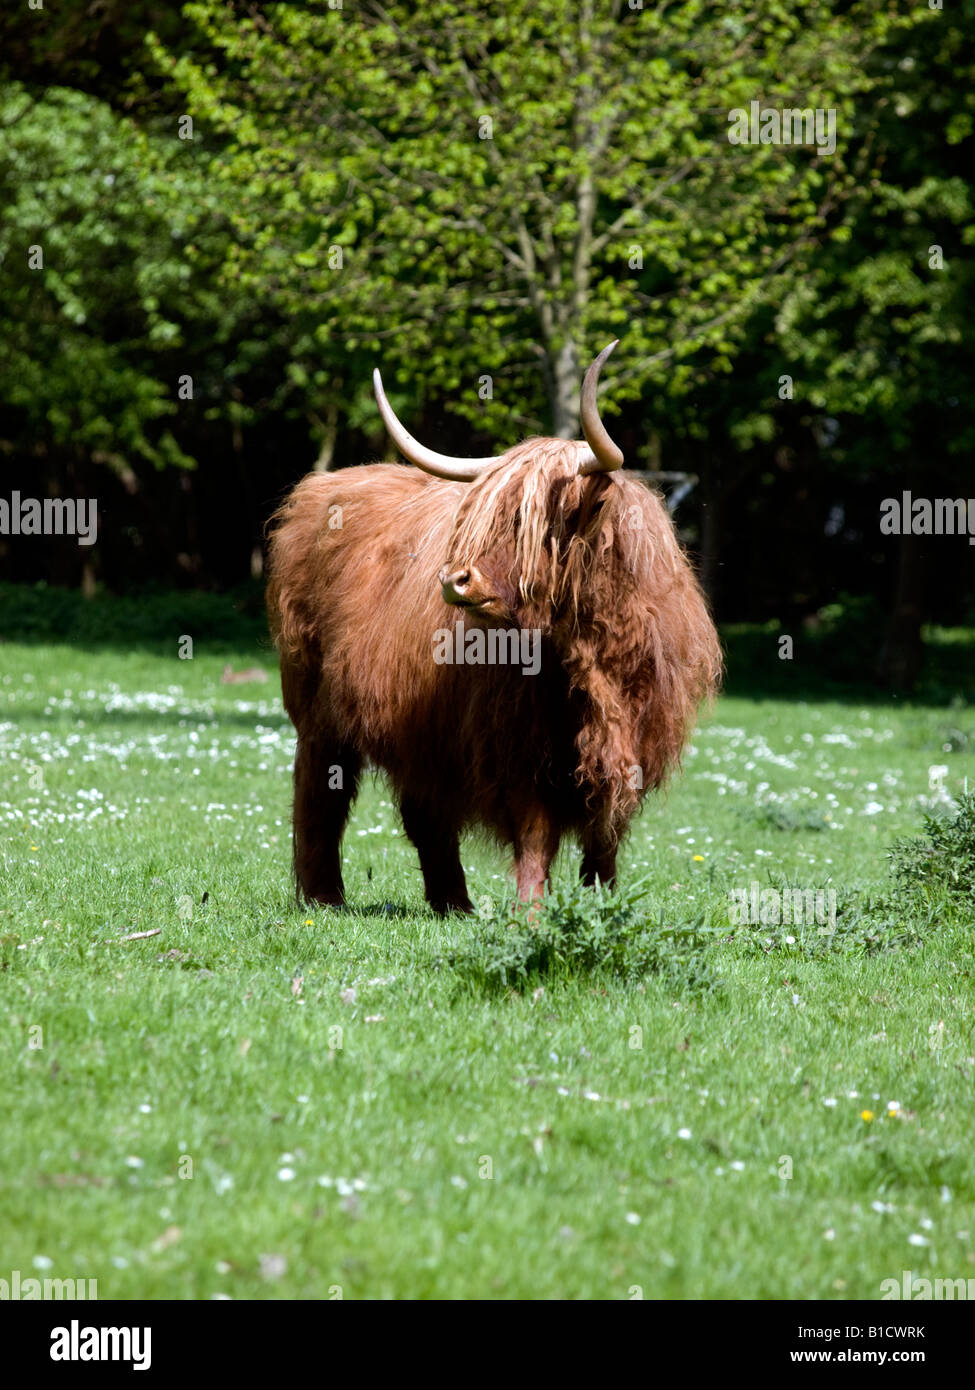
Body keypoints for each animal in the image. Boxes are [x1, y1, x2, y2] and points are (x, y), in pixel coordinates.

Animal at [266, 342, 721, 912]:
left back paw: (453, 905)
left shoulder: (634, 742)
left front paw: (602, 904)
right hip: (317, 711)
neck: (591, 661)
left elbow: (605, 836)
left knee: (425, 812)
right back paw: (323, 898)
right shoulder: (515, 742)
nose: (455, 579)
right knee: (319, 795)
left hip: (417, 728)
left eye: (534, 523)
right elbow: (534, 831)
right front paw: (530, 913)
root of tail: (322, 486)